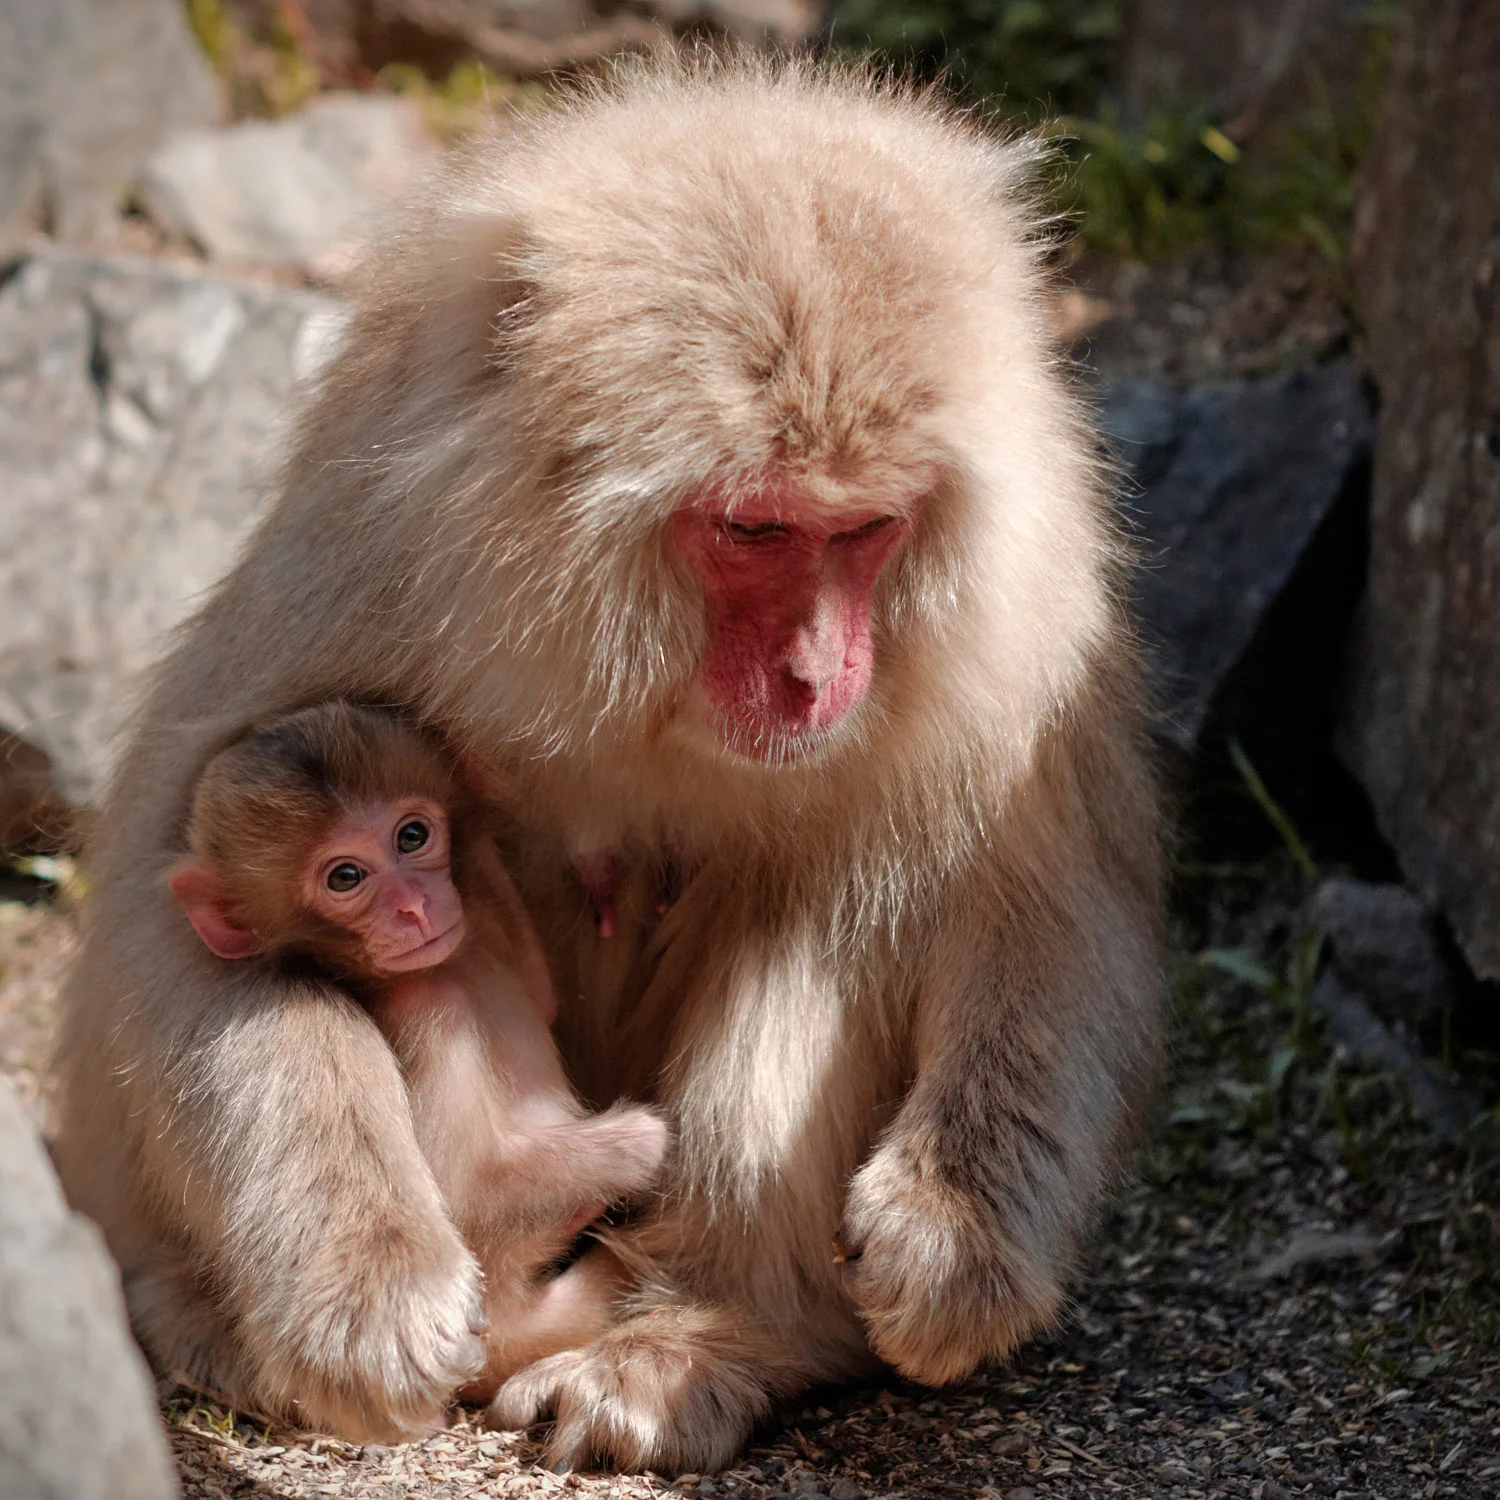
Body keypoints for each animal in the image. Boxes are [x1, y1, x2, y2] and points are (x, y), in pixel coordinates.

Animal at [165, 701, 670, 1397]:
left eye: (412, 836)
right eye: (346, 876)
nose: (412, 905)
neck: (452, 968)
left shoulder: (480, 938)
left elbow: (541, 994)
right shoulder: (431, 1009)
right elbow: (470, 1189)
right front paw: (649, 1141)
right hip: (510, 1326)